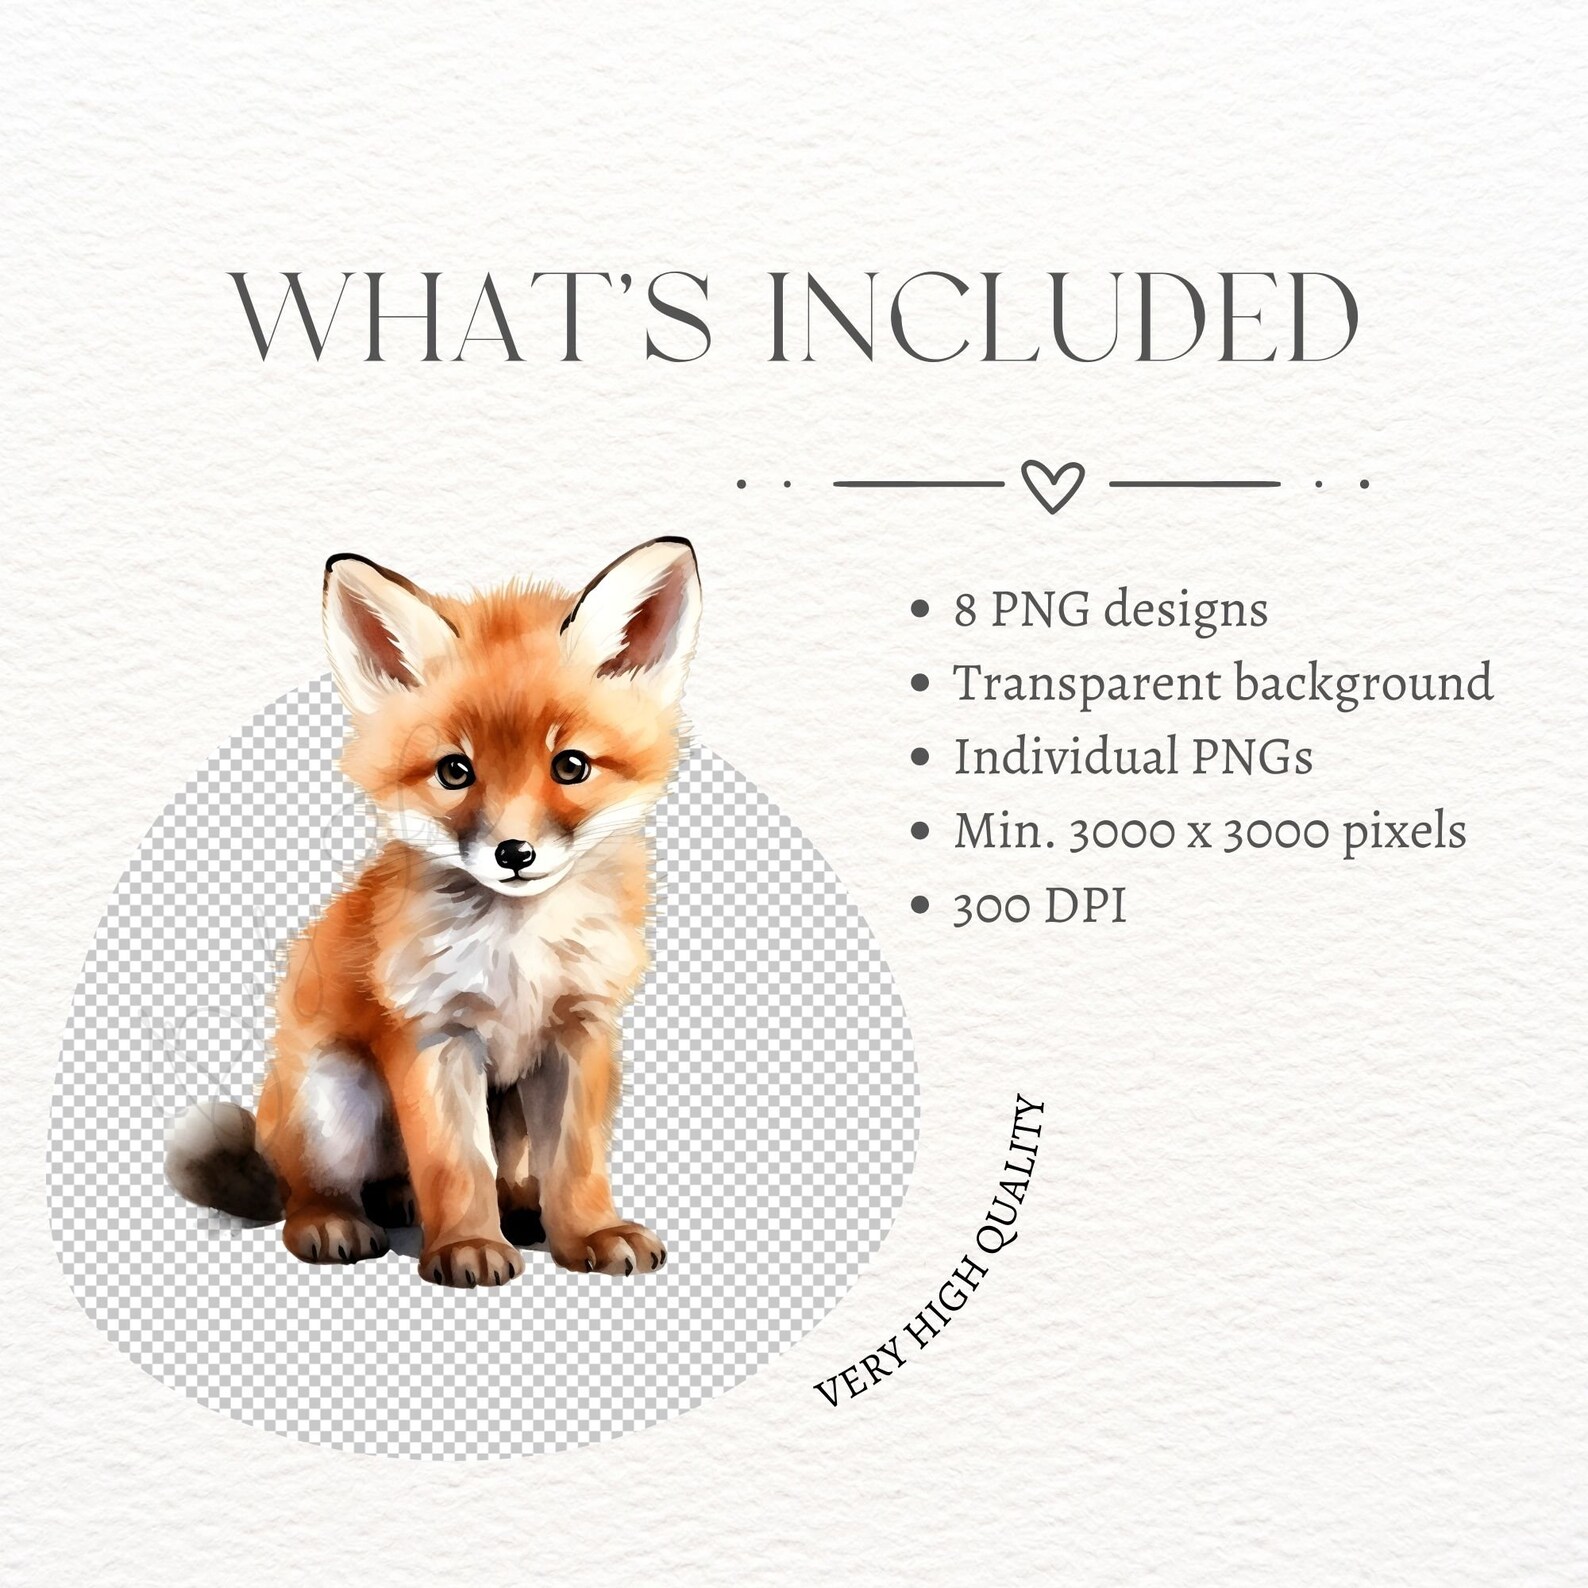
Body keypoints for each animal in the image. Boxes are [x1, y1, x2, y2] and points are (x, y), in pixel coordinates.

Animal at [164, 537, 702, 1287]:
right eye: (454, 771)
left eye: (570, 766)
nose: (514, 852)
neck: (519, 945)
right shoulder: (433, 1034)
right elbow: (454, 1164)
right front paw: (467, 1246)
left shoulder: (578, 1030)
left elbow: (577, 1164)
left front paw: (590, 1231)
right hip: (335, 1096)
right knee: (314, 1187)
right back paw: (338, 1221)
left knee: (492, 1178)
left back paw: (513, 1209)